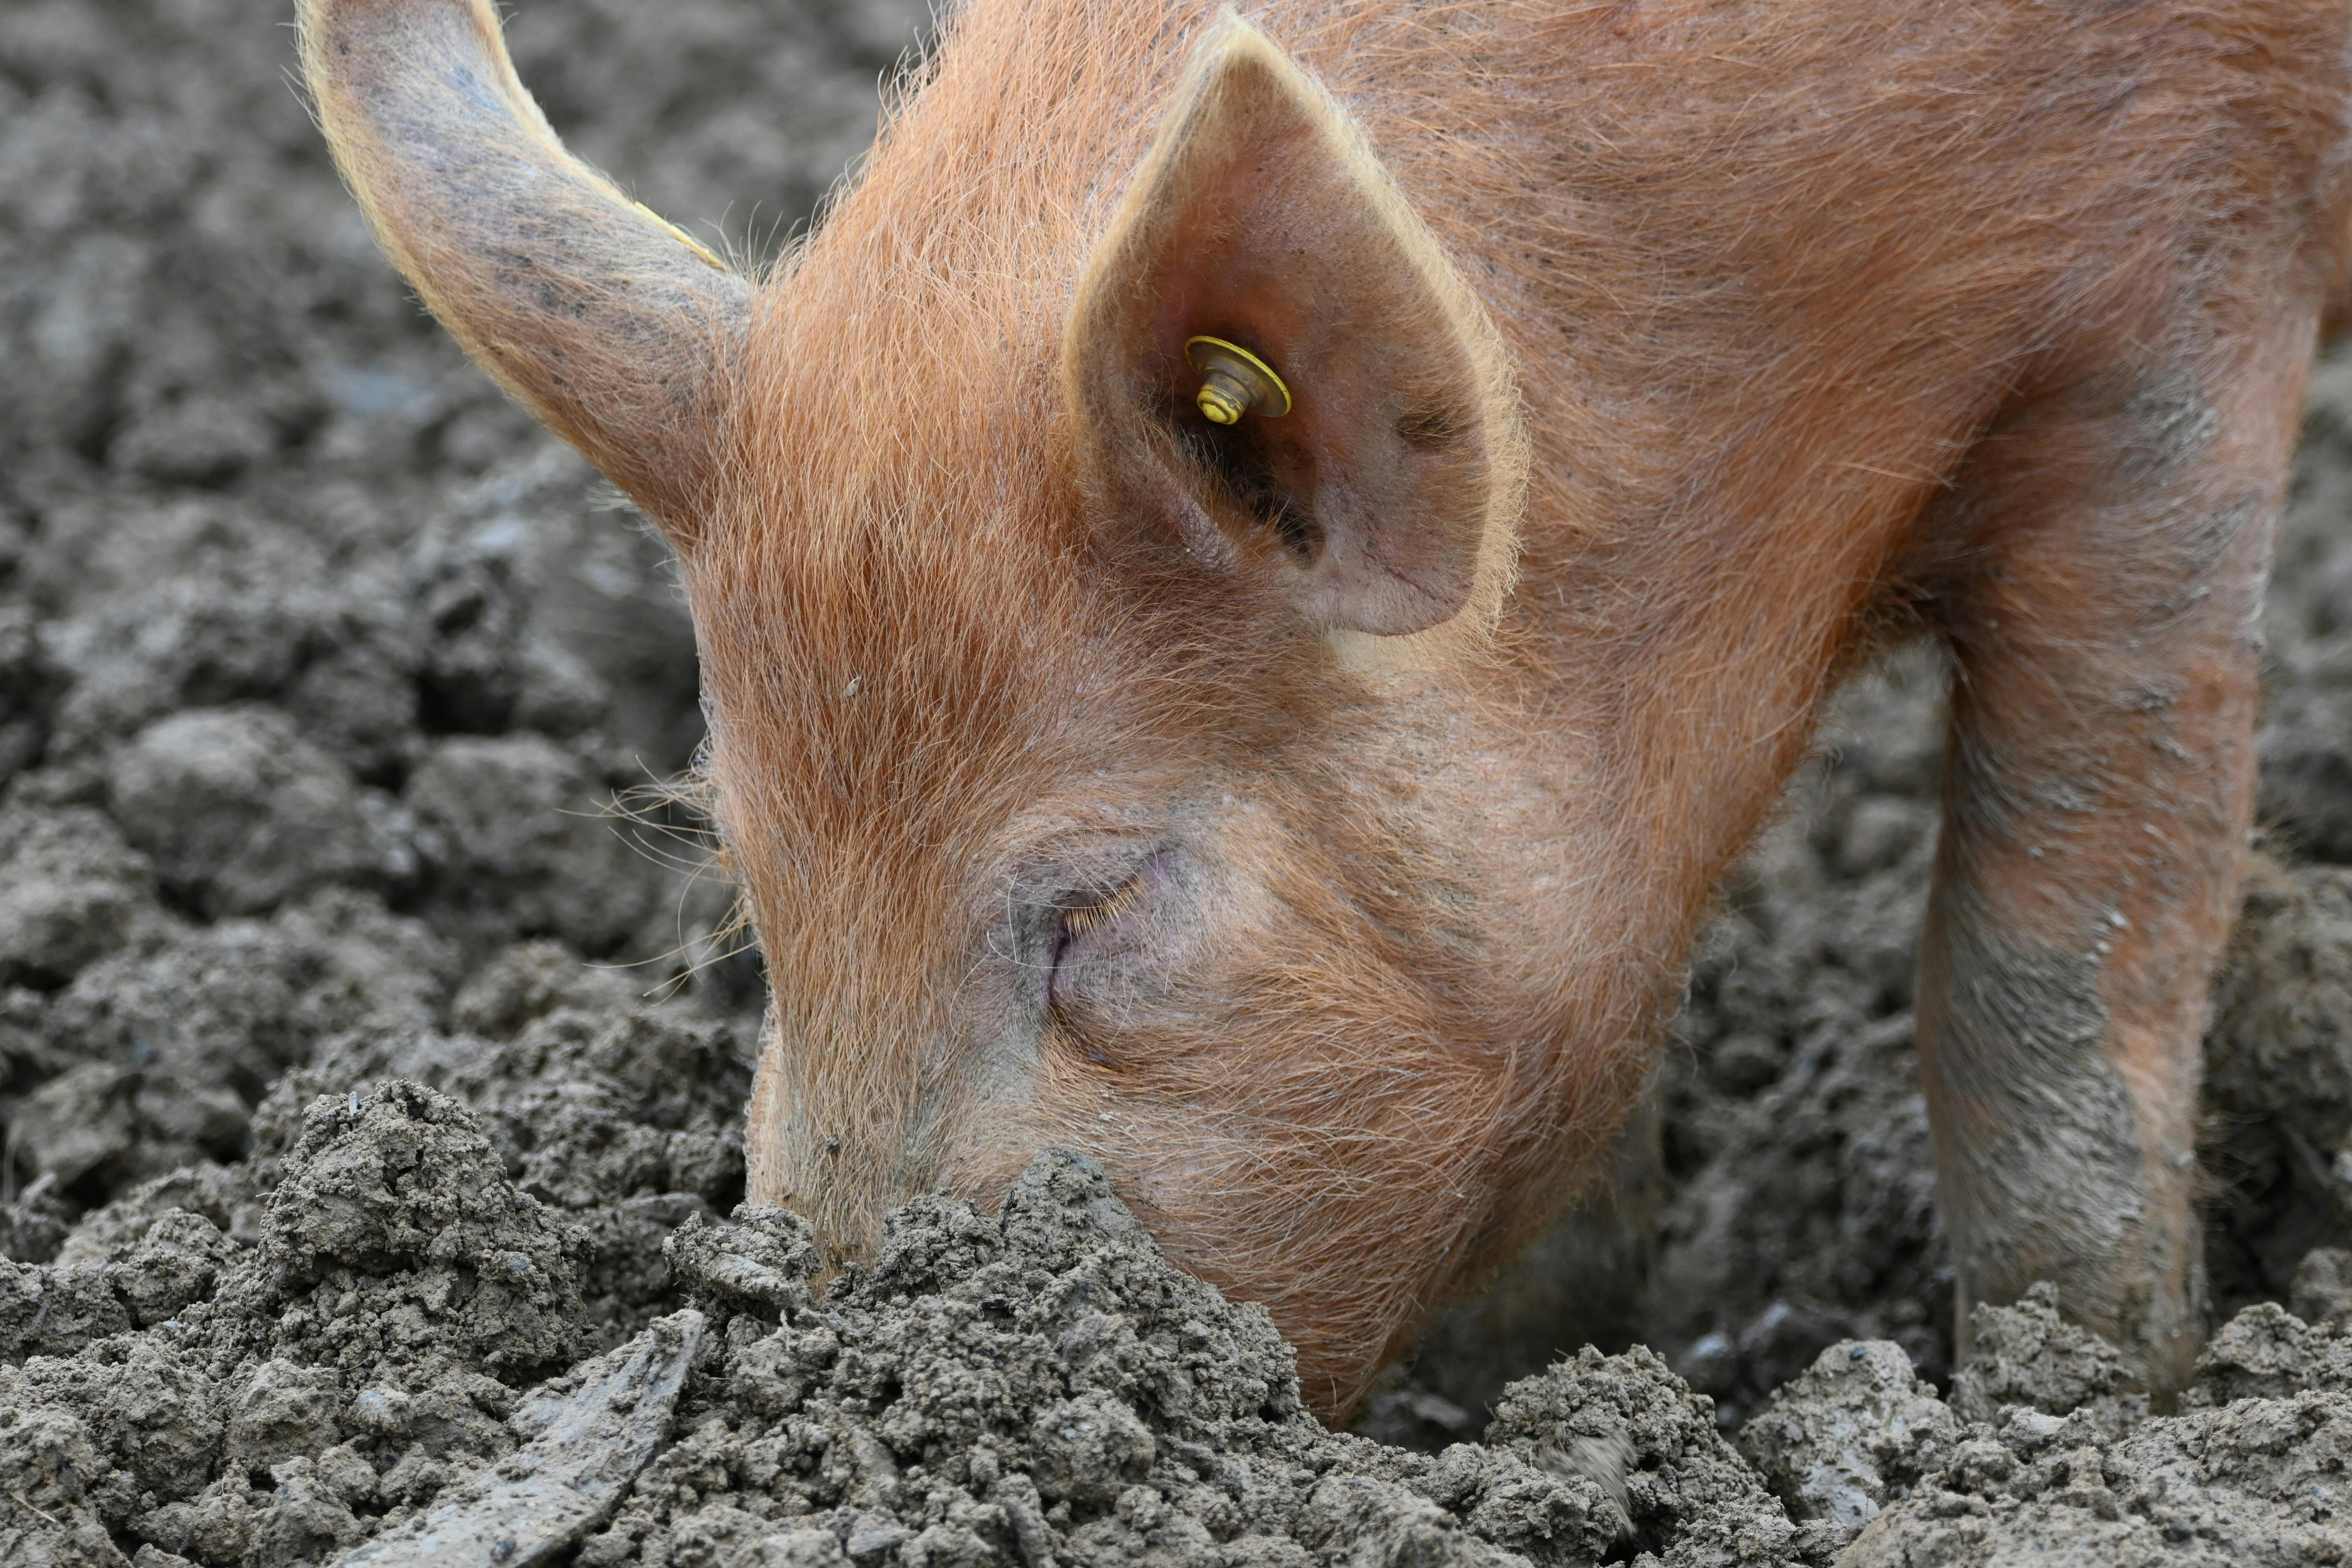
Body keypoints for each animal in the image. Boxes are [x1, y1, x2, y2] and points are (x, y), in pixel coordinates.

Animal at [298, 0, 2352, 1416]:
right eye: (753, 879)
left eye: (1103, 897)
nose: (833, 1339)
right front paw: (1531, 1377)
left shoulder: (2171, 306)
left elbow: (2041, 959)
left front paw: (2089, 1393)